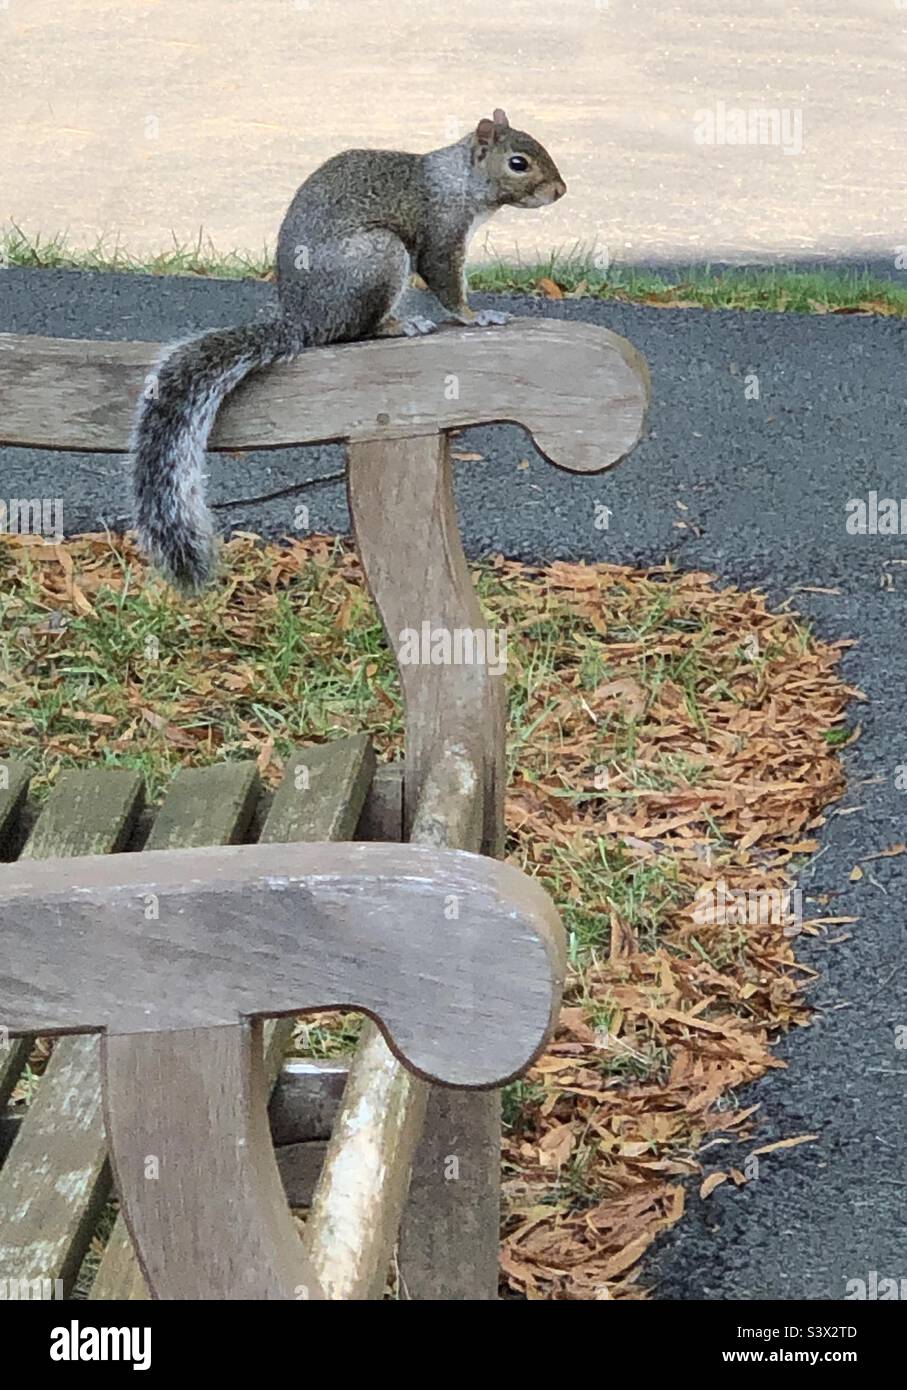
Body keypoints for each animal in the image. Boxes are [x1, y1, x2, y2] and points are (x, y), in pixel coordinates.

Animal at [131, 109, 565, 591]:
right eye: (518, 163)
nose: (560, 190)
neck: (457, 180)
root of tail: (304, 322)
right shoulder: (441, 232)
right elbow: (447, 283)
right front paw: (476, 316)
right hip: (379, 257)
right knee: (356, 331)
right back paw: (398, 325)